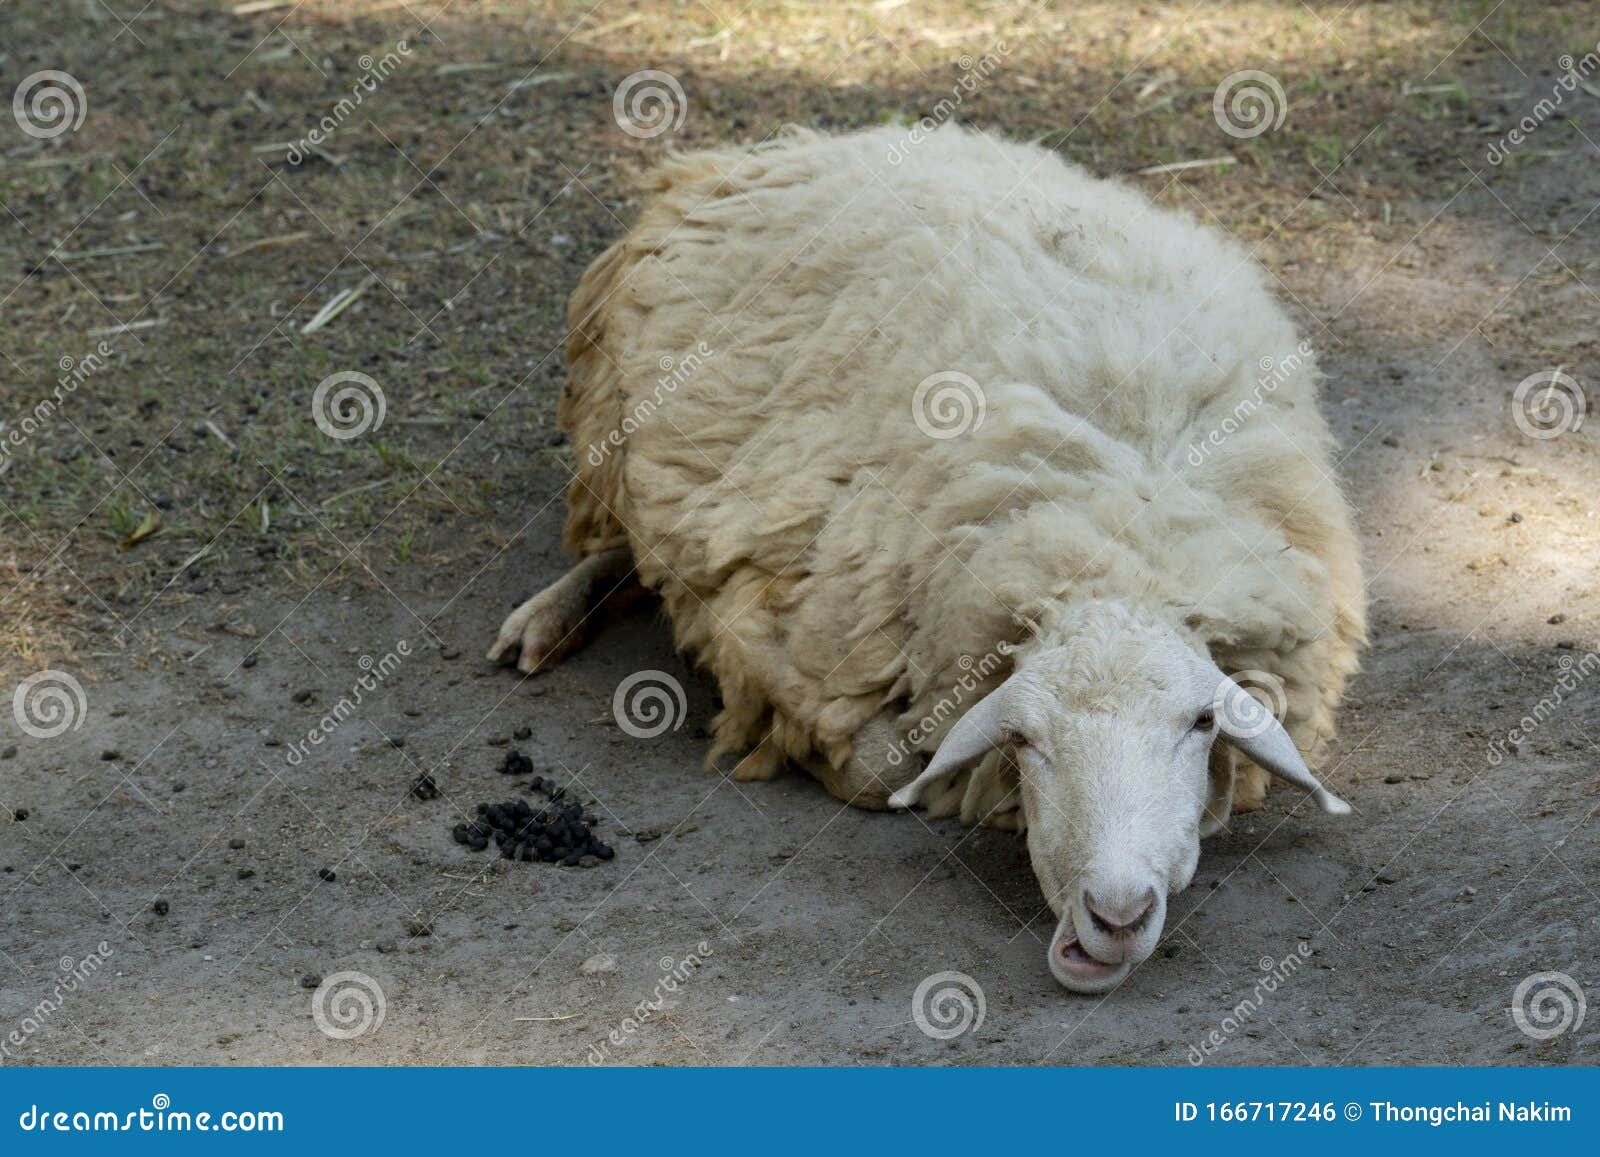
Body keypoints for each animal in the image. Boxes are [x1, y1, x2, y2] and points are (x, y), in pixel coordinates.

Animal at [489, 125, 1366, 992]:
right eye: (1023, 739)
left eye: (1202, 722)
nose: (1115, 916)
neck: (1122, 545)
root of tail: (777, 149)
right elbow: (880, 770)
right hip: (620, 424)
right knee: (630, 547)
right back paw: (546, 619)